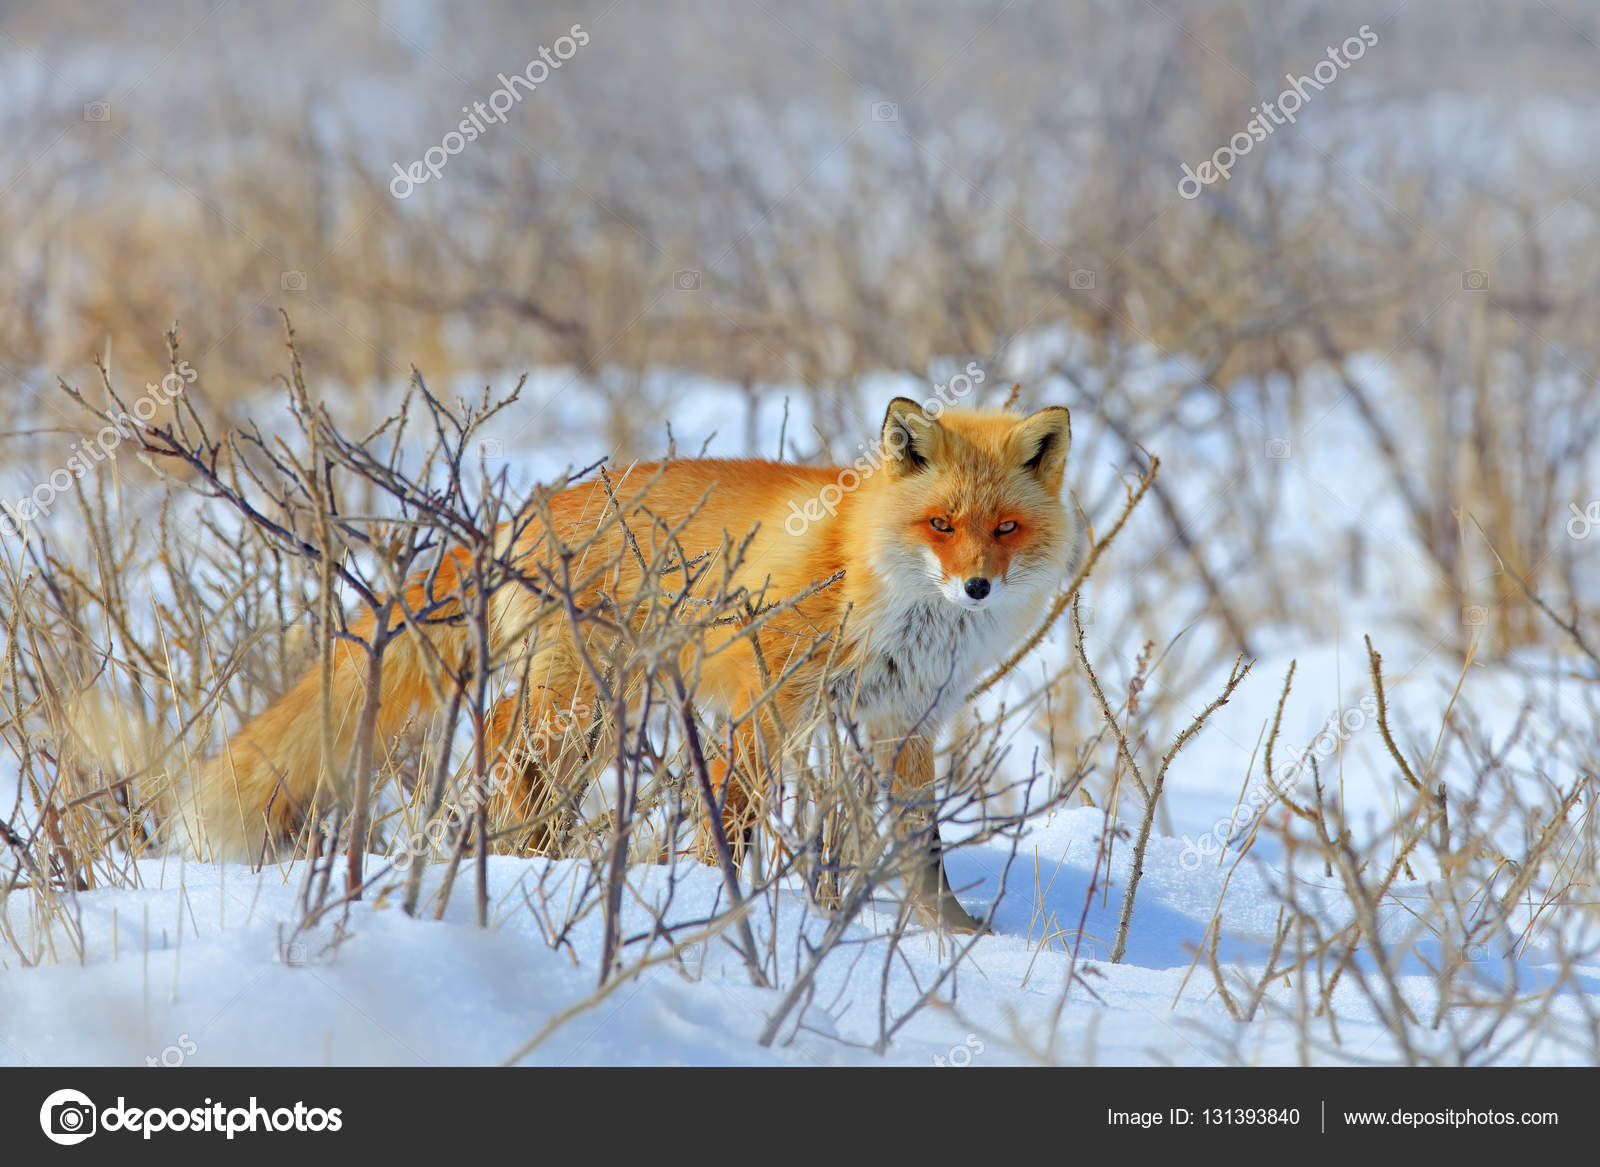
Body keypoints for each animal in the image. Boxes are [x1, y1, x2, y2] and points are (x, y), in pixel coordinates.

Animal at [192, 396, 1079, 933]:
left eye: (1004, 528)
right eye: (940, 524)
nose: (976, 586)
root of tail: (534, 509)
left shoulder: (905, 722)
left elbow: (922, 849)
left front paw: (952, 934)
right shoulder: (766, 699)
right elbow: (737, 810)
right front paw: (718, 899)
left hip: (597, 711)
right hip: (575, 699)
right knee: (498, 734)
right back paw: (516, 855)